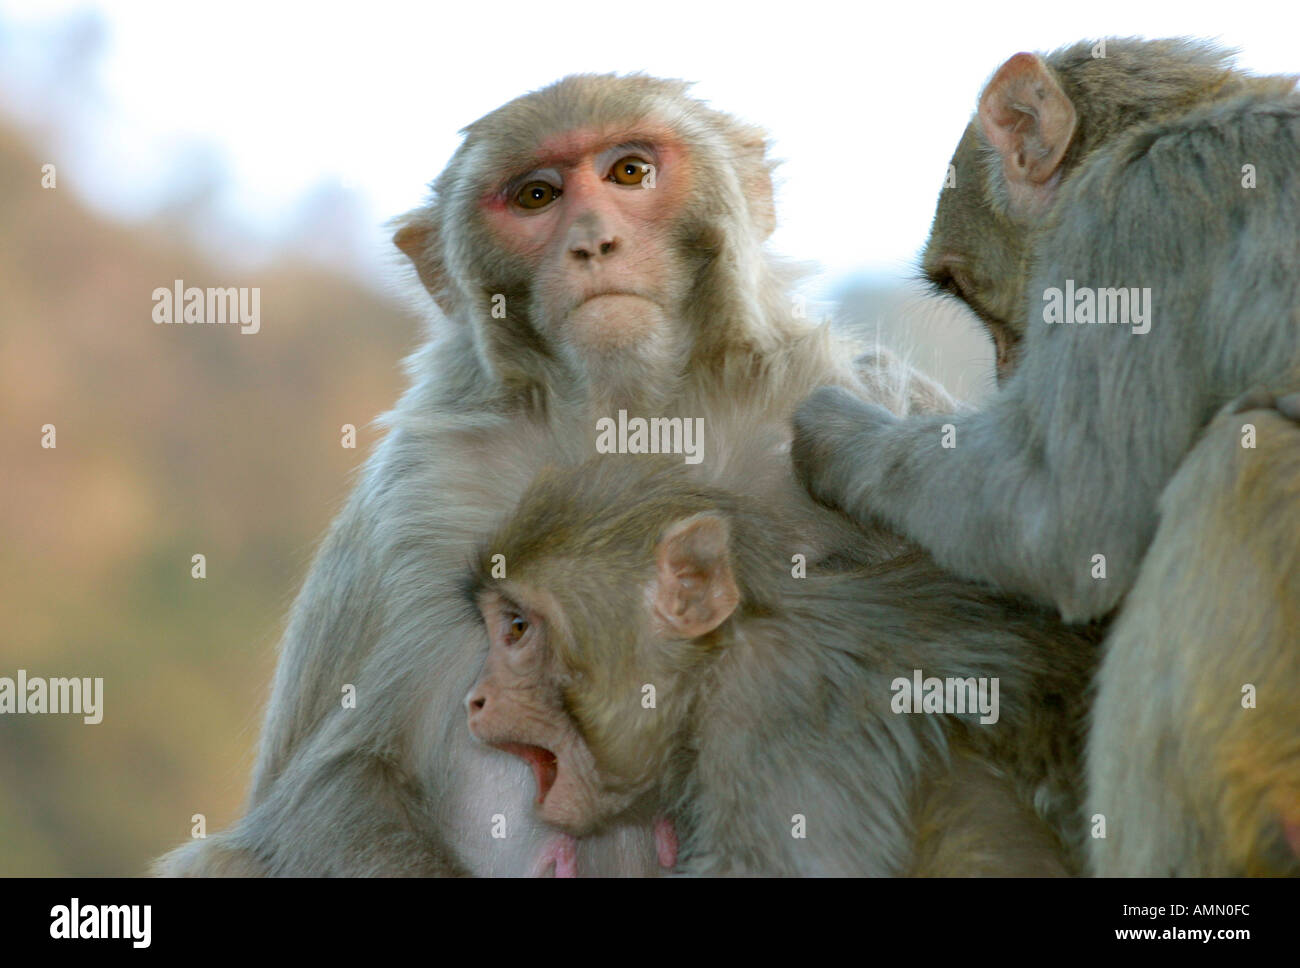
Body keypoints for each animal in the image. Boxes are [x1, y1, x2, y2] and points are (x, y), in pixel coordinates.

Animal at [790, 38, 1300, 874]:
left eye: (966, 290)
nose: (1005, 374)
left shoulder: (1132, 226)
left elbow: (1066, 522)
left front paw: (836, 435)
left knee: (1240, 465)